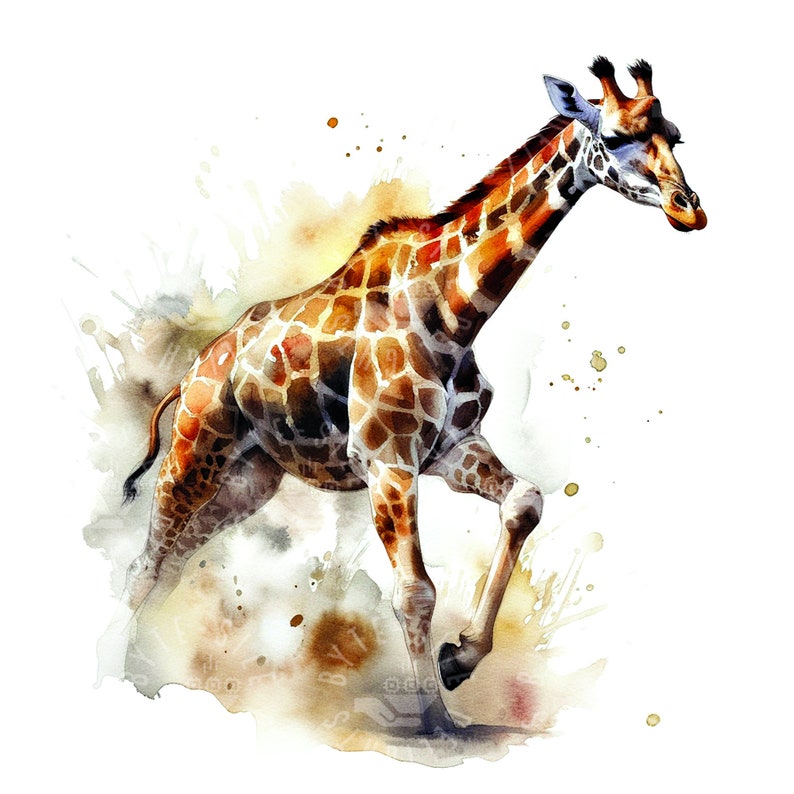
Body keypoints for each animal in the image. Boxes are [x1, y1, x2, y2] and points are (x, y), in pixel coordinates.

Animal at [121, 57, 706, 733]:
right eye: (613, 137)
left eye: (677, 135)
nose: (690, 209)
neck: (452, 312)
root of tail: (191, 374)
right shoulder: (387, 461)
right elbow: (415, 592)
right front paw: (437, 721)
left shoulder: (452, 449)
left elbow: (525, 502)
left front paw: (459, 661)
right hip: (195, 454)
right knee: (146, 562)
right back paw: (124, 664)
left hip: (251, 478)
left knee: (174, 562)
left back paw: (149, 664)